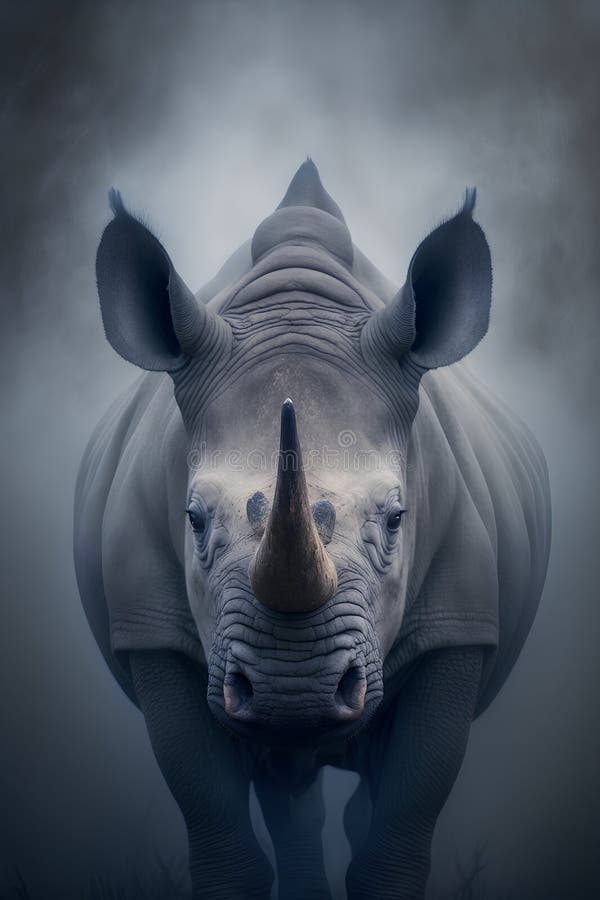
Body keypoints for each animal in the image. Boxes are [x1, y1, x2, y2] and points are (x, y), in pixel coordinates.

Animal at [74, 160, 551, 900]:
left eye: (396, 519)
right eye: (193, 519)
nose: (289, 689)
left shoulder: (461, 623)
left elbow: (399, 833)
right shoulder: (148, 630)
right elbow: (220, 836)